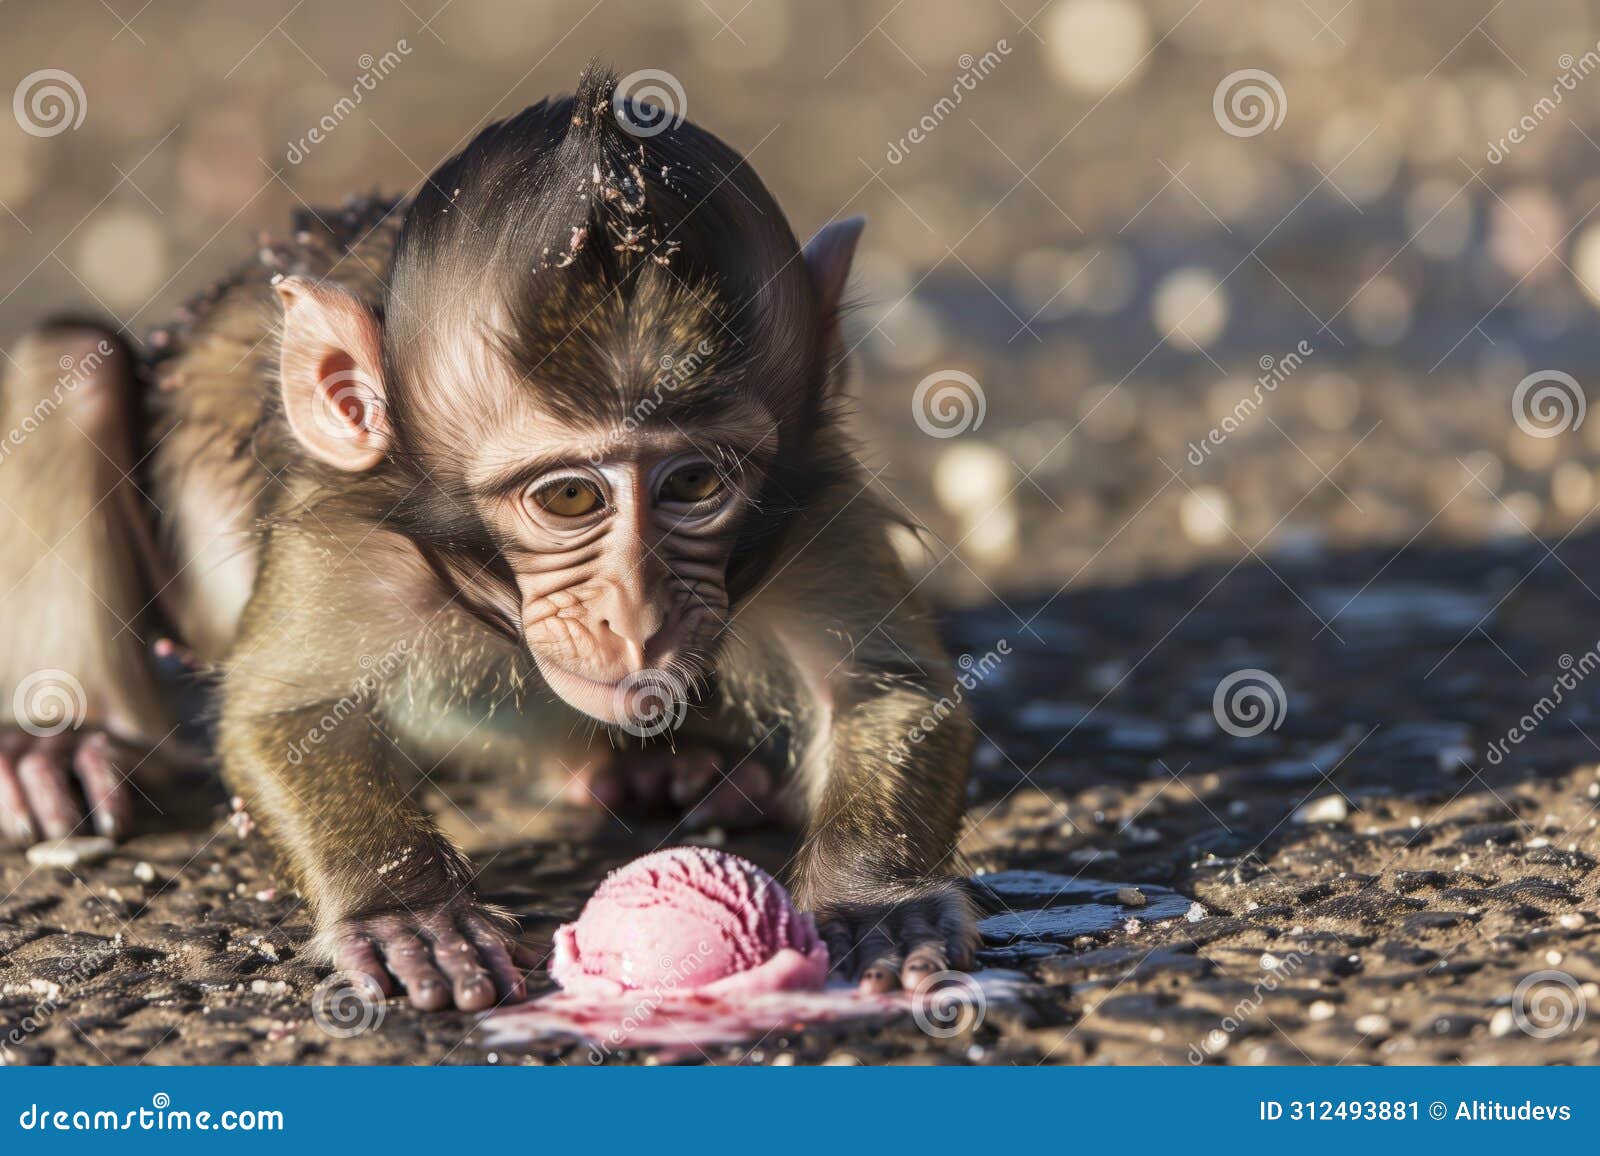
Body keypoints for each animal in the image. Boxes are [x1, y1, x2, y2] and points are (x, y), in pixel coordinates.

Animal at [0, 65, 977, 1010]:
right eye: (571, 497)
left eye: (696, 484)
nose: (637, 613)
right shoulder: (344, 532)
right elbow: (289, 713)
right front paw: (407, 909)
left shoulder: (816, 512)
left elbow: (883, 686)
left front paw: (873, 900)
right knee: (70, 362)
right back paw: (65, 742)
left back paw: (675, 770)